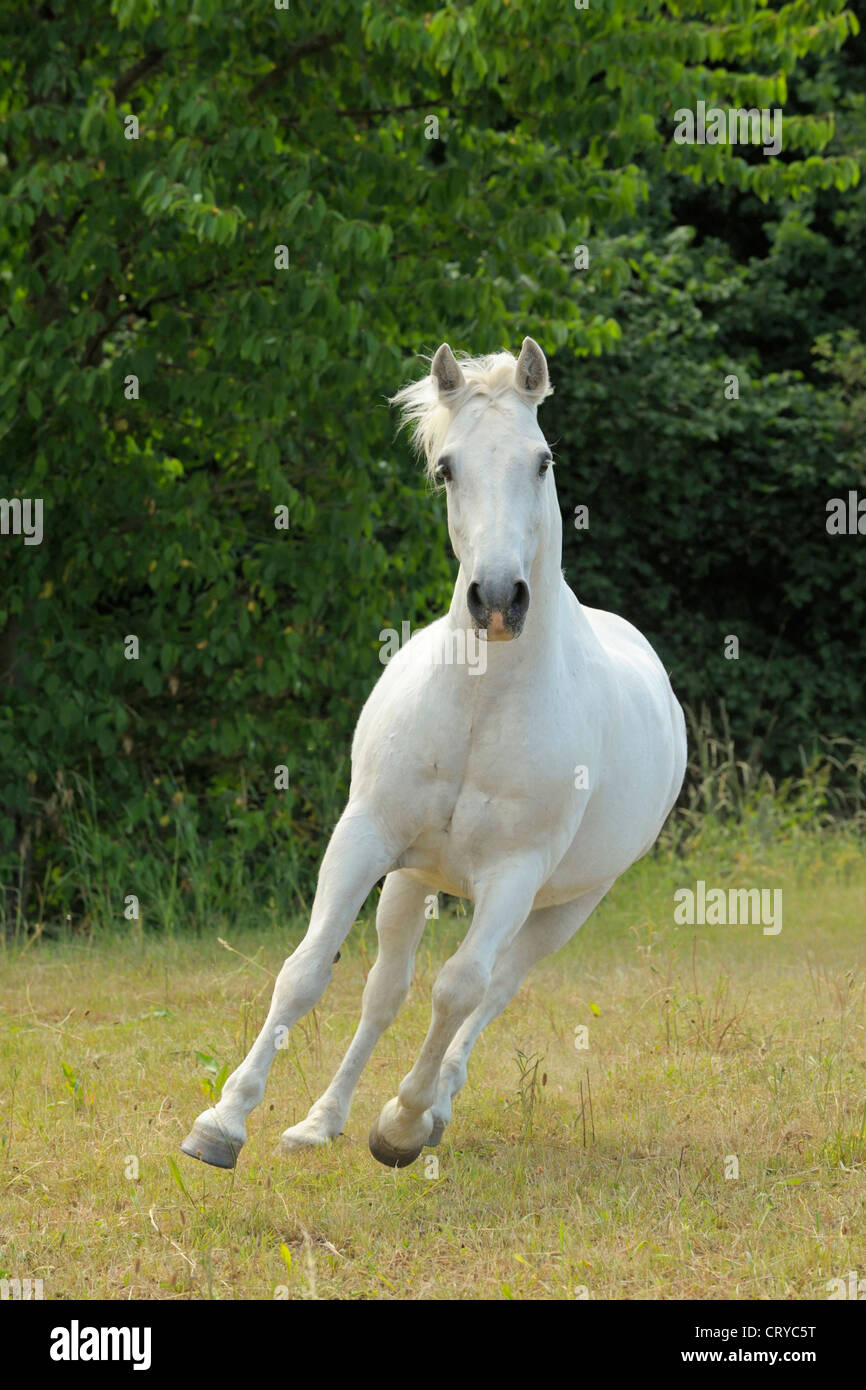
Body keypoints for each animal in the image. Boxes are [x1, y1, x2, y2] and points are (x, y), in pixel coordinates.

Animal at [181, 337, 687, 1170]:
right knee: (386, 989)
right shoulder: (365, 839)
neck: (480, 706)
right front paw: (223, 1123)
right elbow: (307, 972)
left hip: (565, 906)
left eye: (542, 460)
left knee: (492, 991)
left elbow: (459, 989)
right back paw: (320, 1120)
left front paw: (400, 1125)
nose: (498, 599)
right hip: (415, 879)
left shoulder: (515, 873)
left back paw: (431, 1113)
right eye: (447, 467)